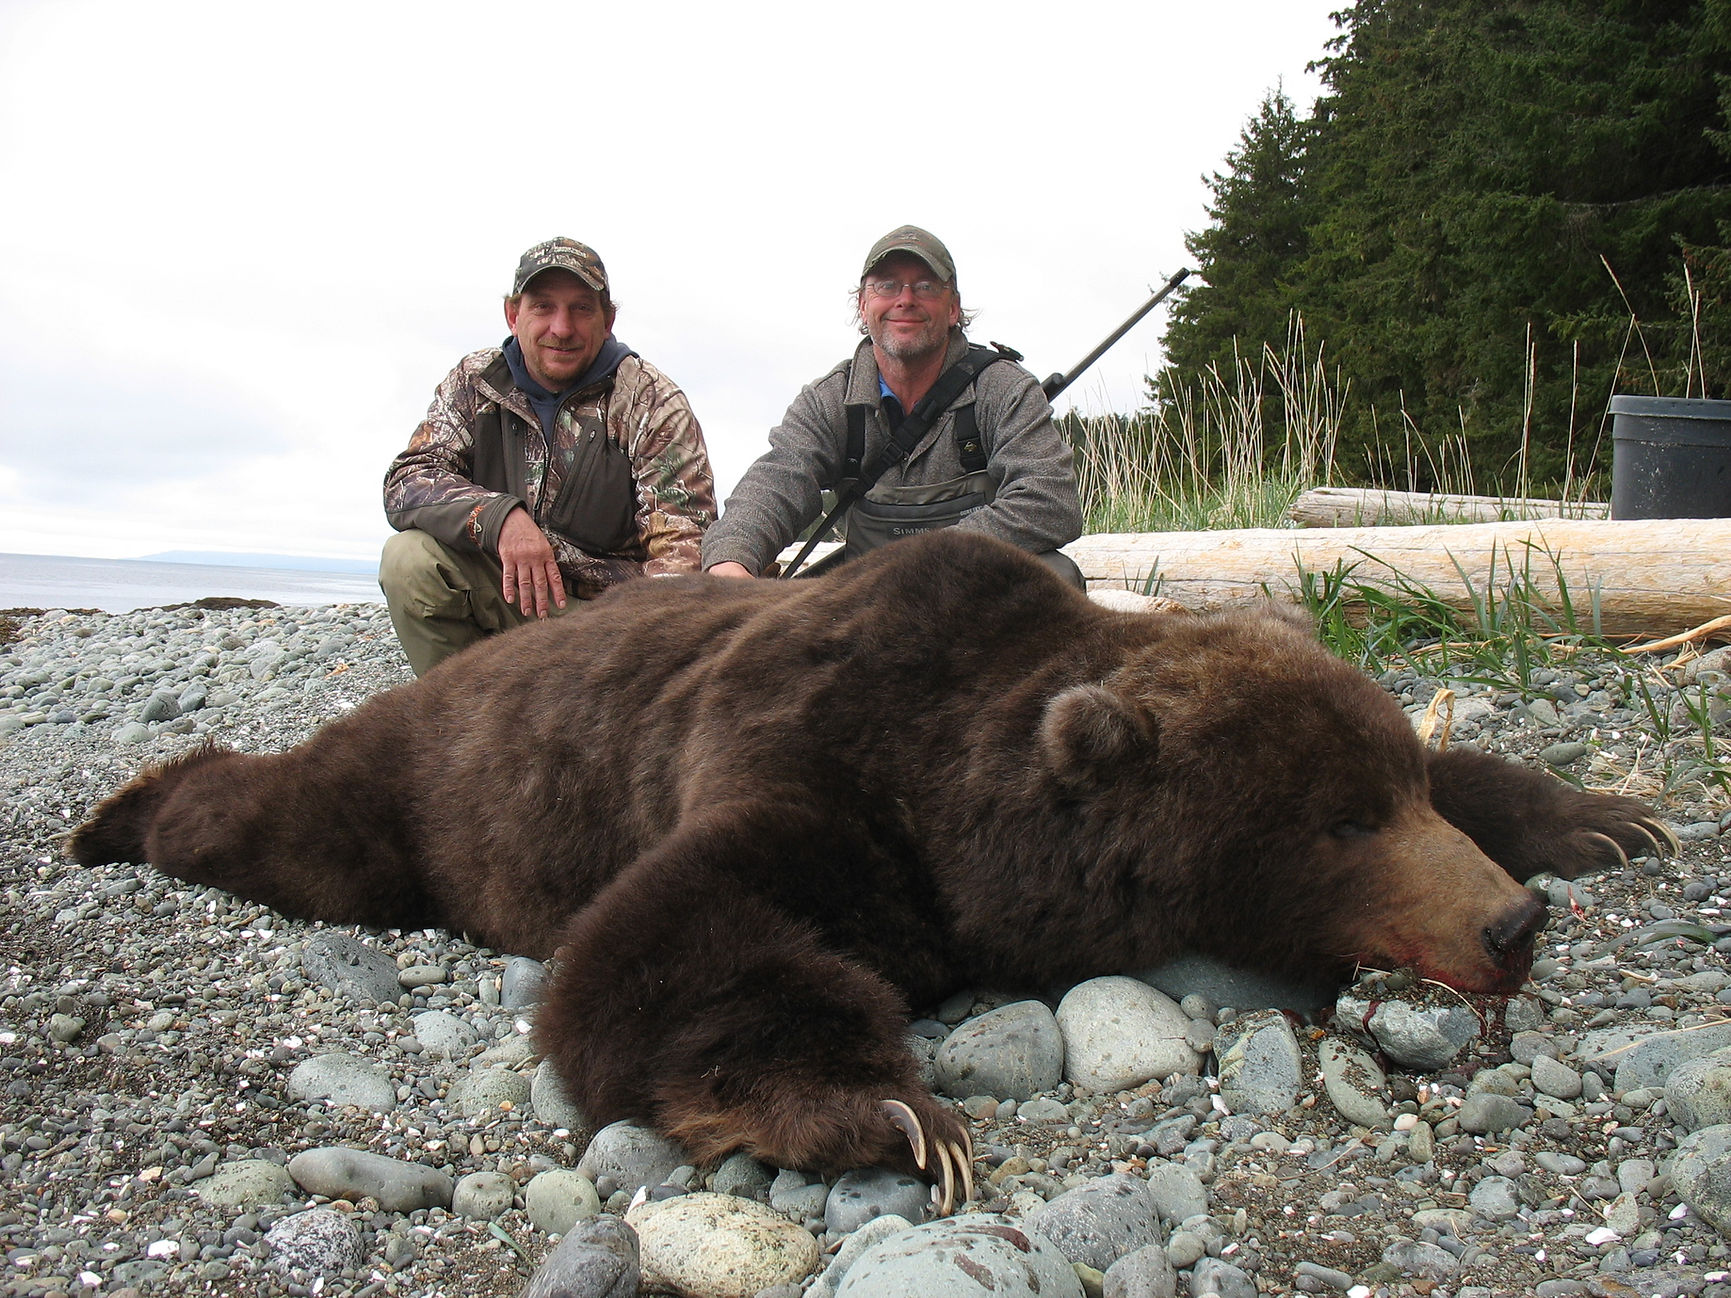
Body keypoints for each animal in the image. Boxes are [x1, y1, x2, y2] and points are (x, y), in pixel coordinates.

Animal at [69, 530, 1672, 1212]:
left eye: (1388, 785)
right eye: (1333, 824)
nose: (1508, 921)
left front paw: (1605, 814)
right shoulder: (809, 760)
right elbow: (649, 950)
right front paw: (888, 1111)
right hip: (423, 788)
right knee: (285, 825)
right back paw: (113, 814)